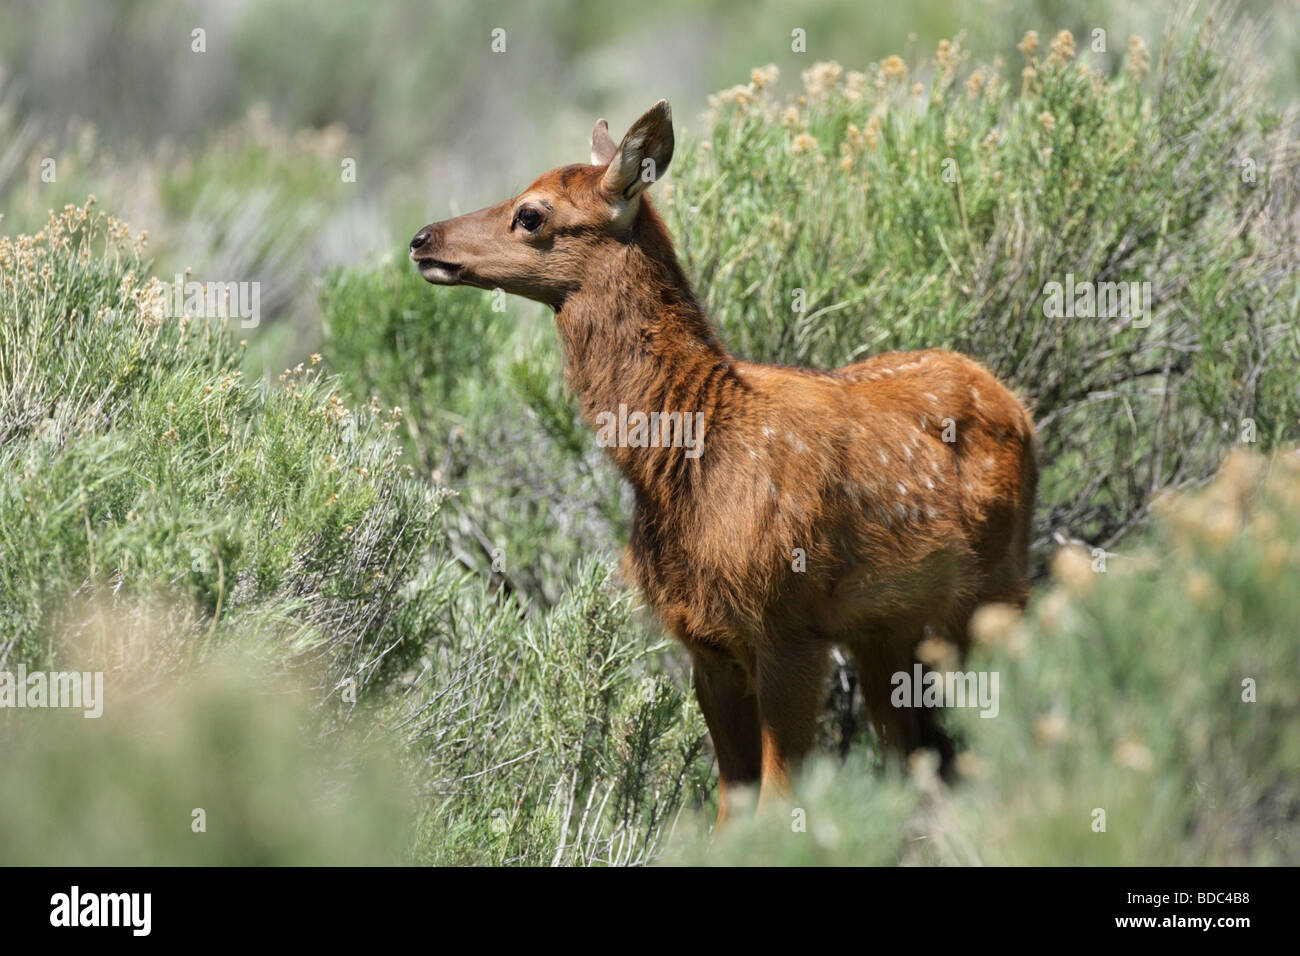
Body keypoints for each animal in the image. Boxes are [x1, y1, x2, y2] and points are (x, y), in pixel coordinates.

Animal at [410, 101, 1038, 827]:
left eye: (532, 214)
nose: (423, 239)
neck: (685, 456)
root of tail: (1016, 404)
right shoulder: (705, 645)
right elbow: (731, 807)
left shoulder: (789, 627)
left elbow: (776, 800)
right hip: (889, 626)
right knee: (929, 759)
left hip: (996, 587)